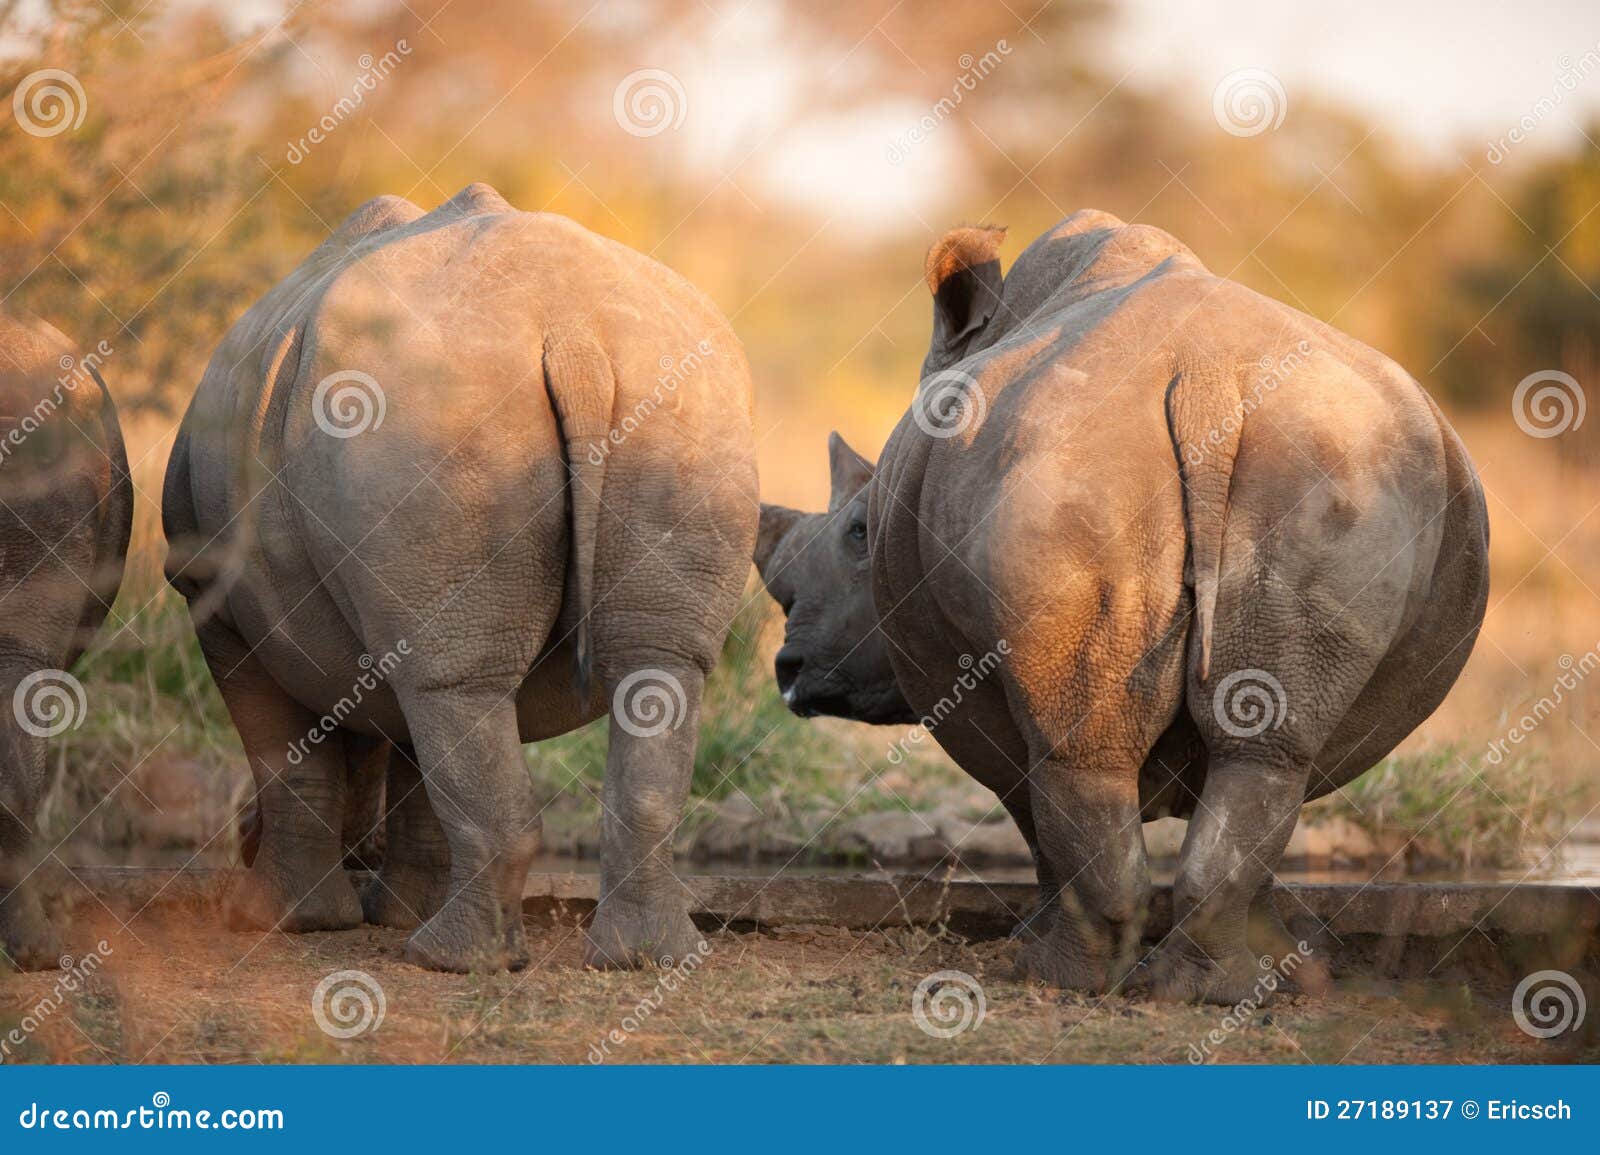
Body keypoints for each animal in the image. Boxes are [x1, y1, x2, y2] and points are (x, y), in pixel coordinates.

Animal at [163, 183, 757, 972]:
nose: (242, 839)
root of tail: (576, 336)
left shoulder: (214, 599)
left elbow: (292, 755)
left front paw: (282, 921)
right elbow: (417, 762)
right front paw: (391, 910)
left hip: (422, 410)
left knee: (451, 682)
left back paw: (445, 959)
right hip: (682, 395)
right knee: (644, 666)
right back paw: (643, 959)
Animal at [755, 211, 1489, 1003]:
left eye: (859, 531)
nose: (791, 670)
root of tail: (1207, 384)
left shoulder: (958, 684)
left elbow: (1030, 810)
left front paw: (1029, 939)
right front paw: (1289, 960)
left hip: (1069, 477)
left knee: (1078, 754)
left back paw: (1056, 975)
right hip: (1334, 472)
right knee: (1266, 754)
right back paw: (1219, 987)